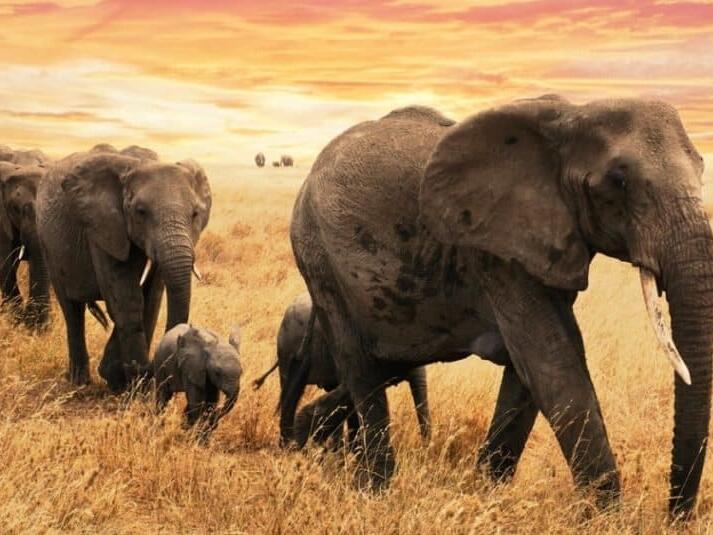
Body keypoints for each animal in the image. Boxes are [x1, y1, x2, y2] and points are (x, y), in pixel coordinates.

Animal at [36, 145, 211, 391]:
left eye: (195, 214)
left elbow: (151, 299)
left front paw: (120, 378)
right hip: (48, 246)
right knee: (71, 309)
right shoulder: (103, 228)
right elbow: (127, 299)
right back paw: (79, 382)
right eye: (141, 212)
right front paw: (135, 386)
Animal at [288, 97, 713, 517]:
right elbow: (553, 361)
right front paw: (607, 518)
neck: (574, 113)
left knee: (374, 371)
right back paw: (375, 490)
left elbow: (531, 371)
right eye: (618, 181)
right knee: (361, 369)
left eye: (701, 168)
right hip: (318, 259)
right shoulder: (495, 252)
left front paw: (486, 493)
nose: (675, 517)